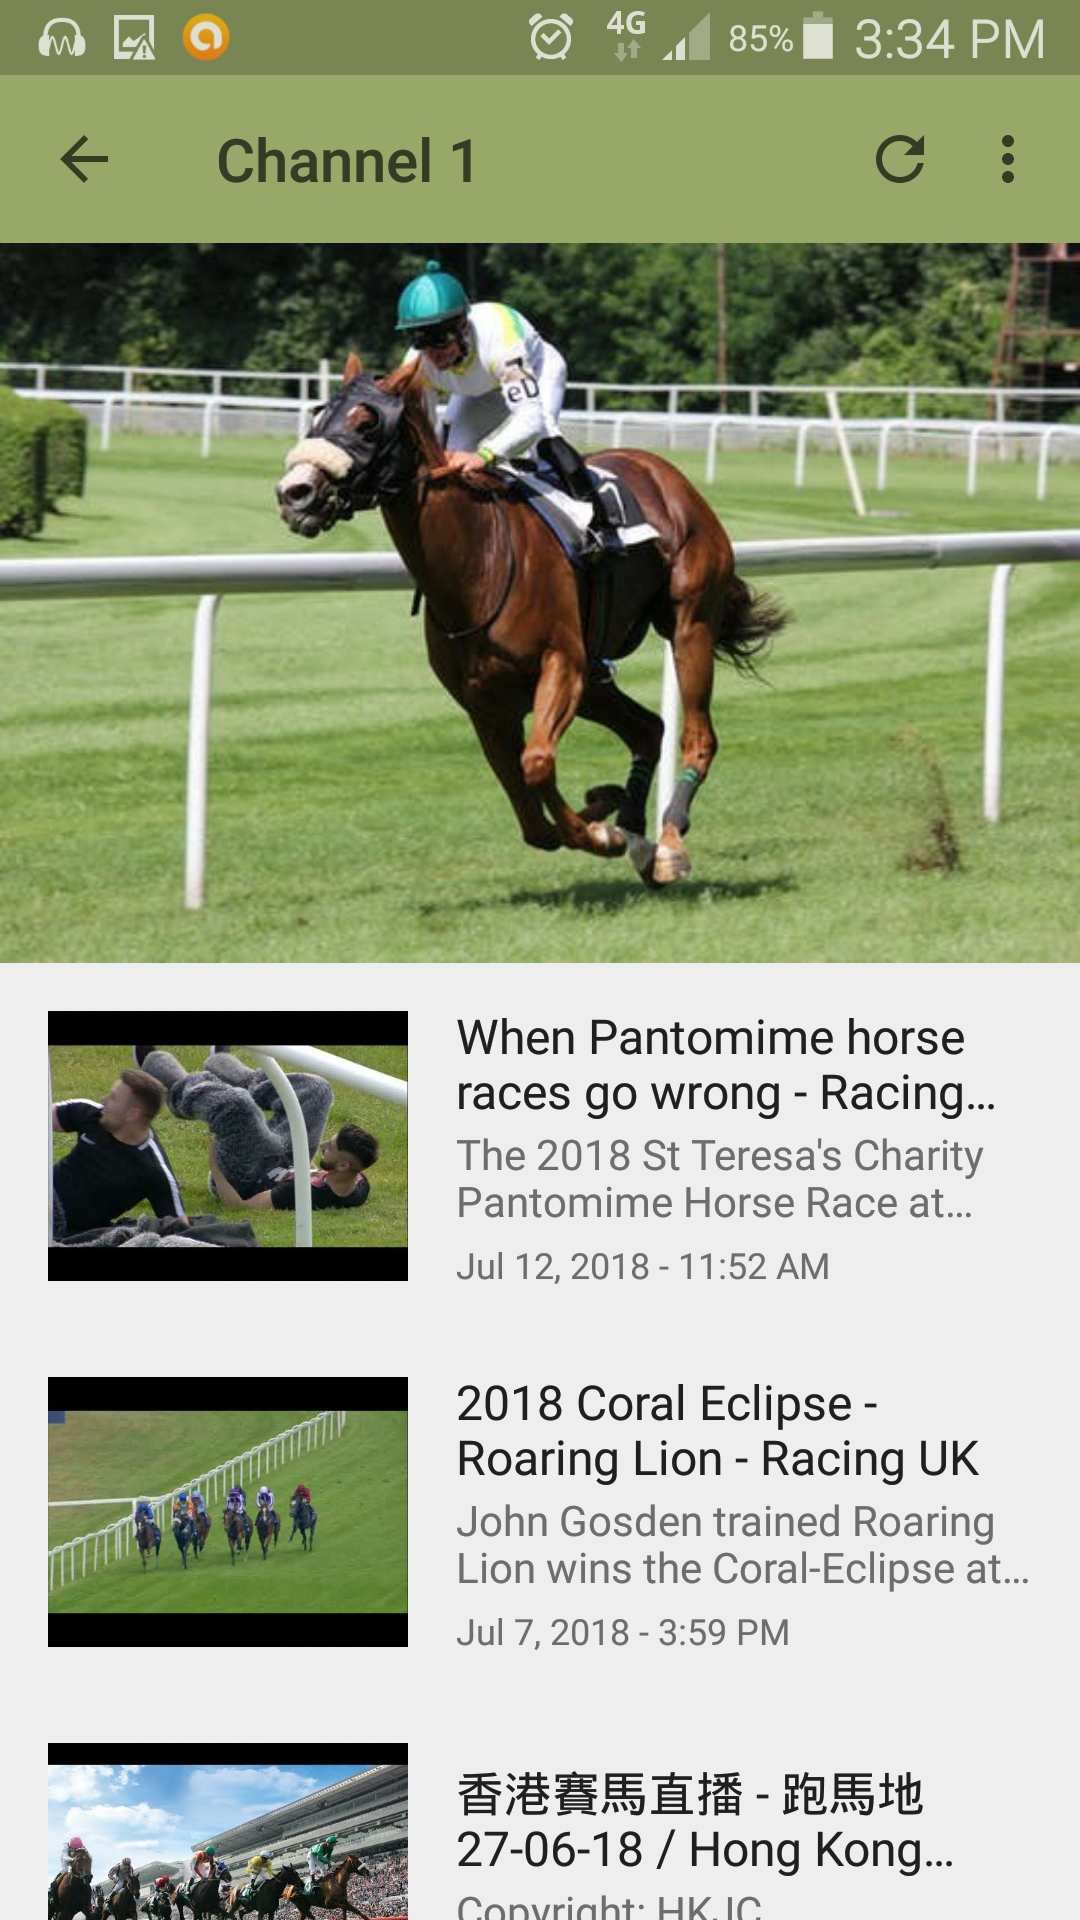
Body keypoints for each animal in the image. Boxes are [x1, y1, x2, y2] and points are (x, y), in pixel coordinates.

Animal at [276, 354, 787, 886]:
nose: (294, 493)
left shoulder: (561, 665)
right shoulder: (485, 705)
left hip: (689, 625)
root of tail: (666, 472)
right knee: (649, 728)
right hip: (596, 680)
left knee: (698, 736)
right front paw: (606, 812)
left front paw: (602, 832)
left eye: (367, 424)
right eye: (318, 416)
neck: (476, 563)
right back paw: (636, 832)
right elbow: (530, 818)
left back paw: (667, 843)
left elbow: (537, 764)